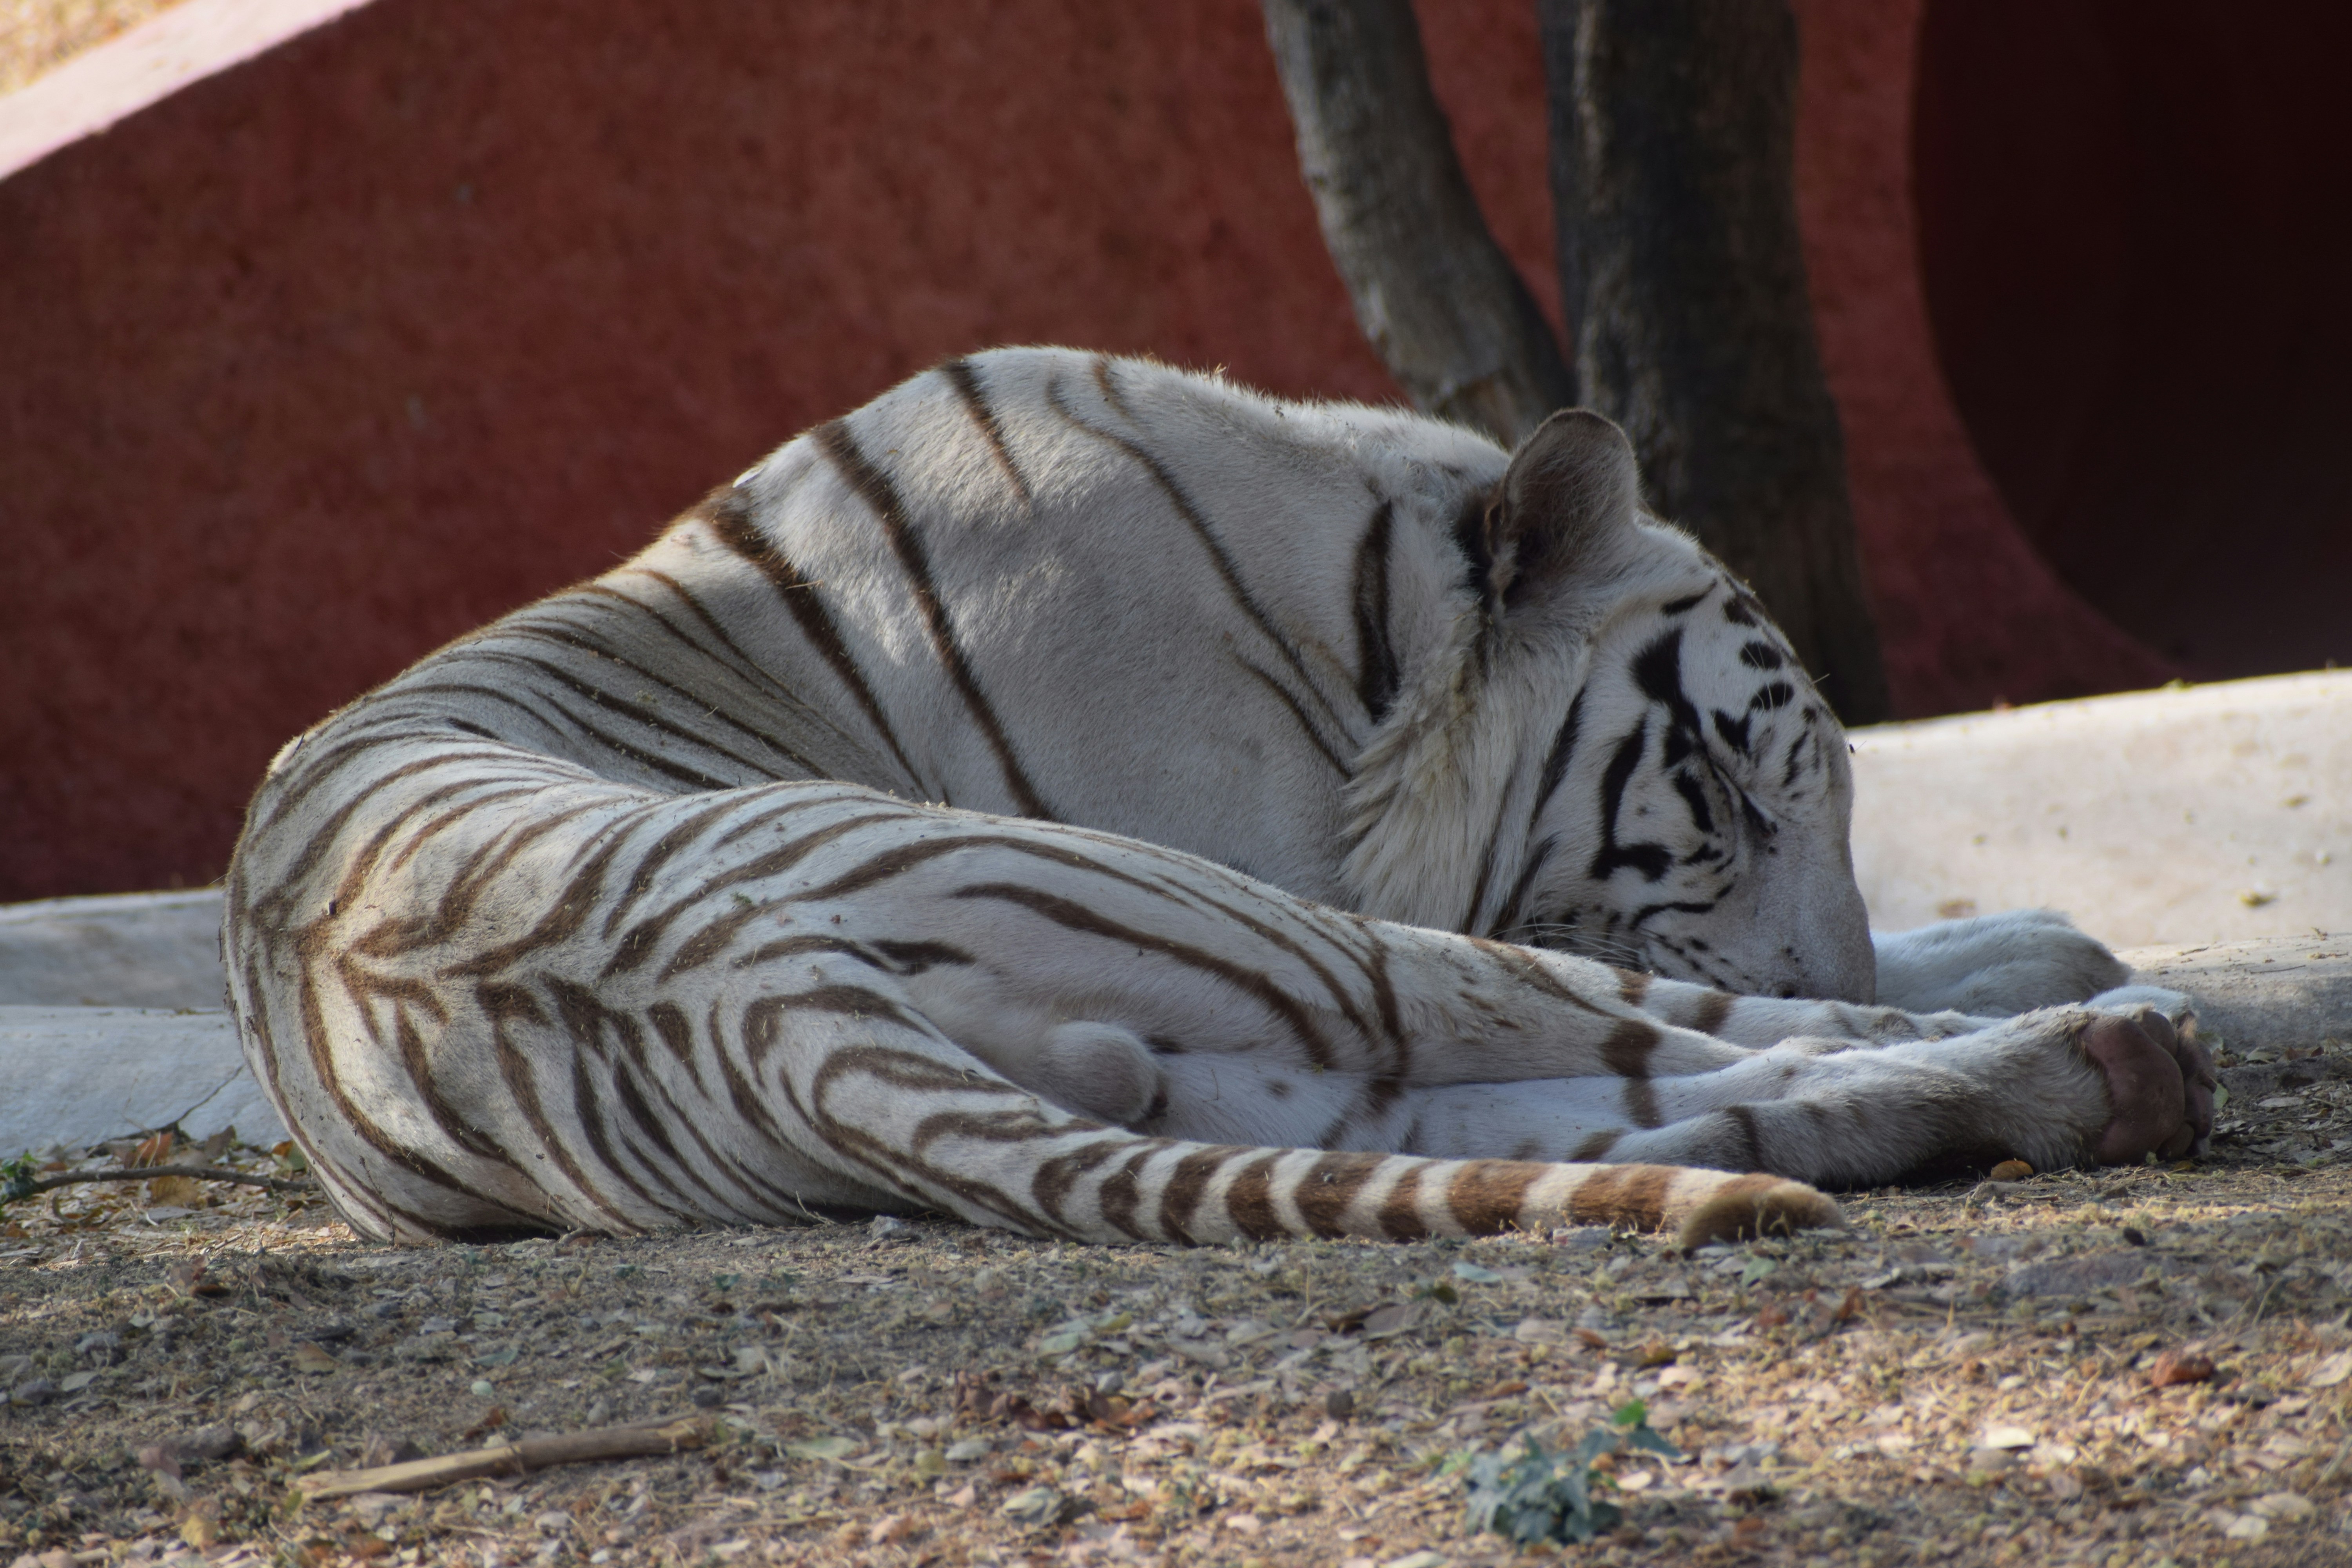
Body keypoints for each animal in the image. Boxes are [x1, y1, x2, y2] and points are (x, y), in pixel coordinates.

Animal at [222, 348, 2214, 1250]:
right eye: (1725, 794)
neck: (1349, 608)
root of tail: (751, 1001)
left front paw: (2014, 936)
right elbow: (1780, 979)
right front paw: (2033, 959)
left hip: (1258, 1059)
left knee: (1683, 1106)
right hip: (1300, 947)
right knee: (1707, 1041)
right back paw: (2114, 1048)